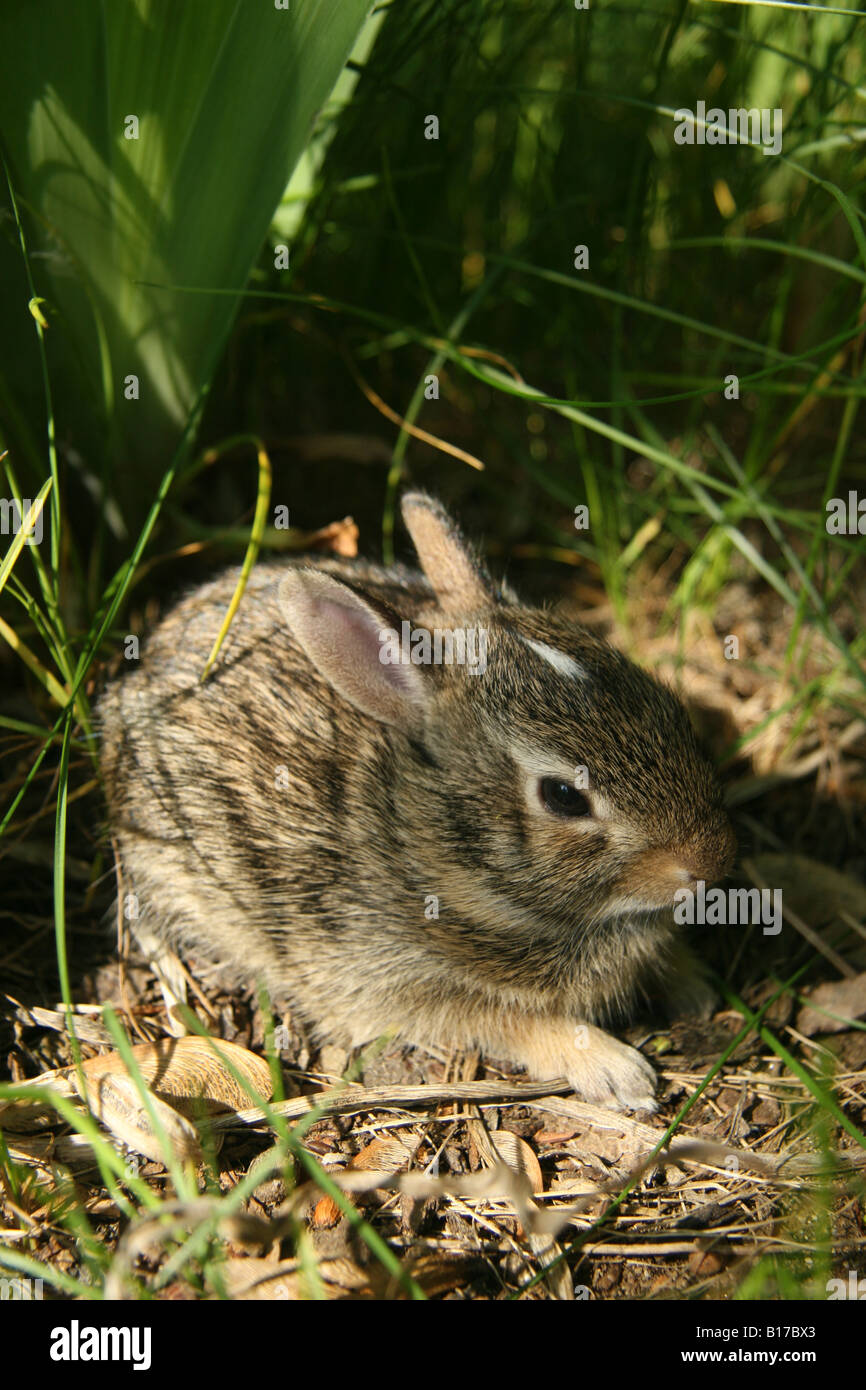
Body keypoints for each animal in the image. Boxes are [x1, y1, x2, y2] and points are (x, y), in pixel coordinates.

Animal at [99, 492, 736, 1112]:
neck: (422, 843)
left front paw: (695, 985)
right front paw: (617, 1071)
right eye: (563, 796)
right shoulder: (385, 975)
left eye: (666, 705)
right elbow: (514, 1022)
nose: (711, 862)